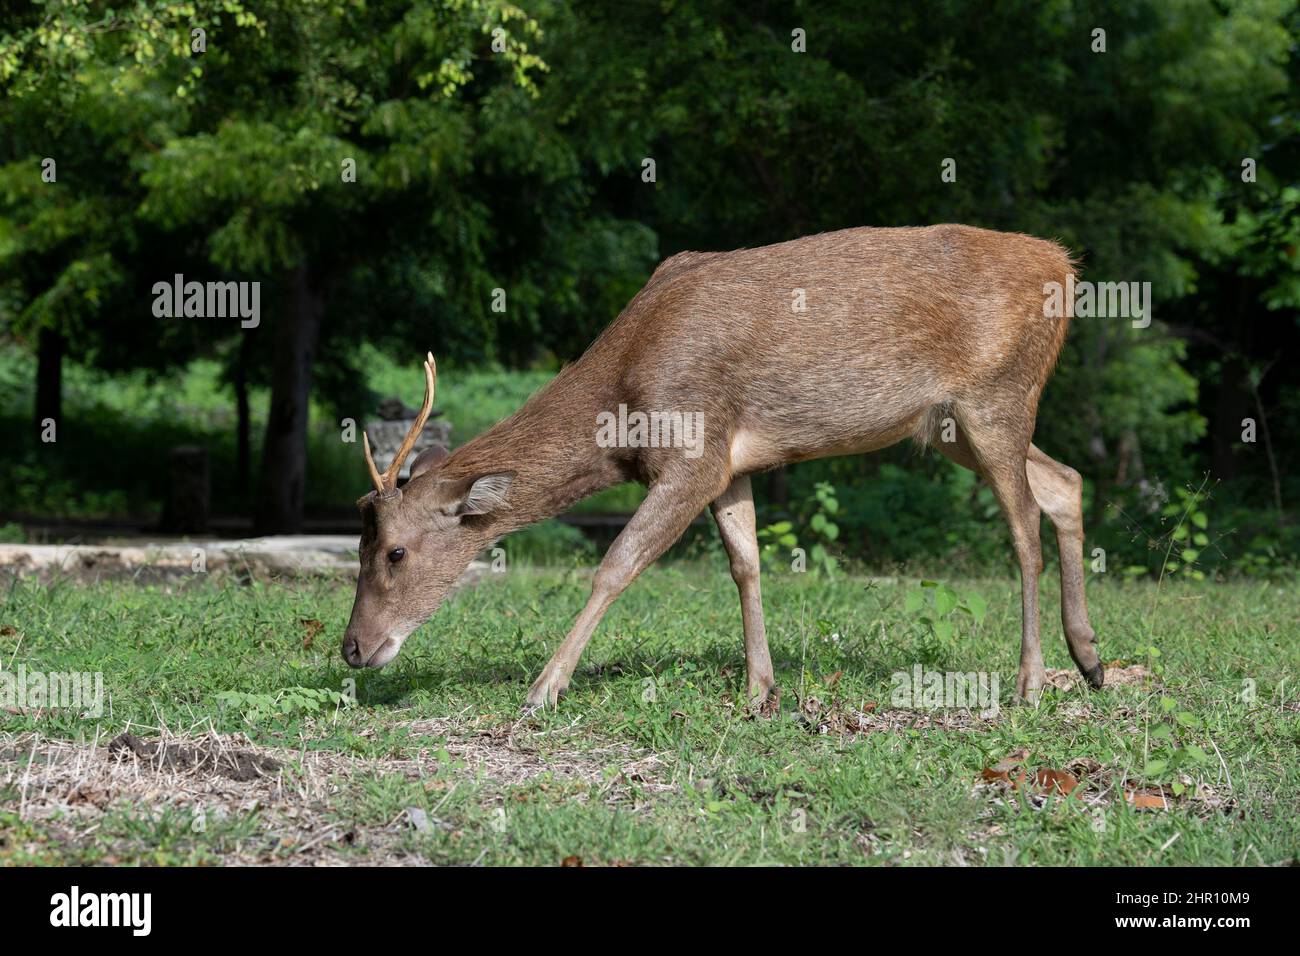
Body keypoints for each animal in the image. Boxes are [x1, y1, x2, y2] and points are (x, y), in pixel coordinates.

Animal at [342, 224, 1103, 712]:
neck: (622, 407)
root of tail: (1066, 266)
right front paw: (761, 689)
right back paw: (1091, 660)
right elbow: (746, 562)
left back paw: (1032, 683)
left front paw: (543, 688)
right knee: (1065, 482)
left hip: (998, 393)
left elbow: (617, 563)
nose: (352, 649)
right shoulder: (731, 463)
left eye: (396, 551)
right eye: (359, 544)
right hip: (944, 424)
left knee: (1023, 525)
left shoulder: (690, 452)